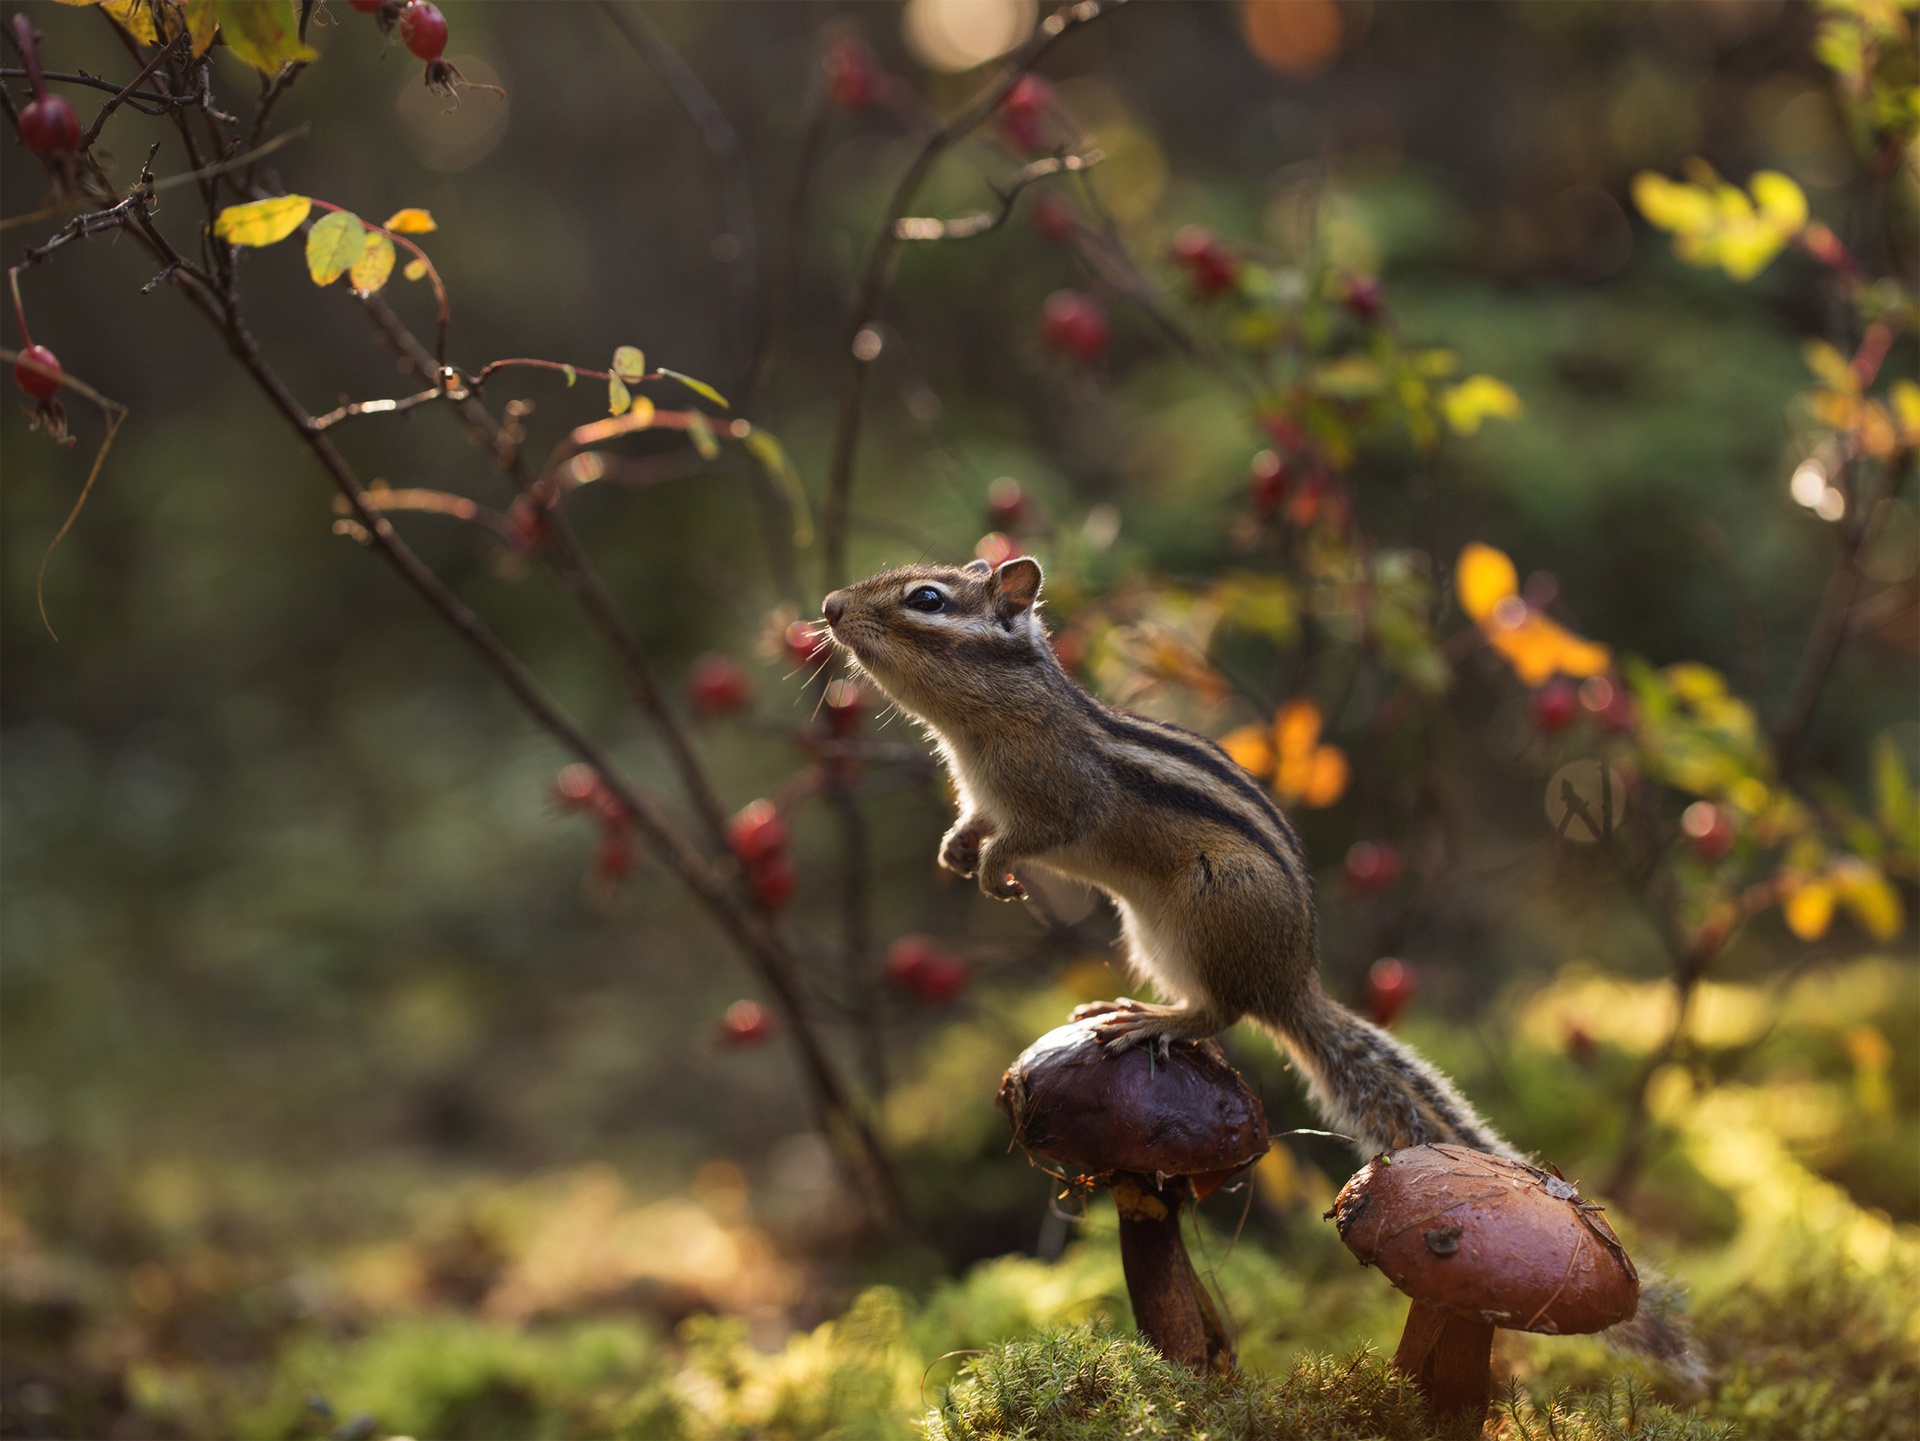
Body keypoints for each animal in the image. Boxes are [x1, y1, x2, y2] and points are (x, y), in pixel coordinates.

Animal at [823, 555, 1701, 1380]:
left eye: (926, 599)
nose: (829, 607)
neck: (982, 721)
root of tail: (1292, 979)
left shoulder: (1059, 797)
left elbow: (1037, 832)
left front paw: (997, 865)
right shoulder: (982, 795)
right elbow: (975, 823)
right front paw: (960, 851)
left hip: (1209, 907)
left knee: (1223, 1009)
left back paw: (1151, 1018)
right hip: (1149, 932)